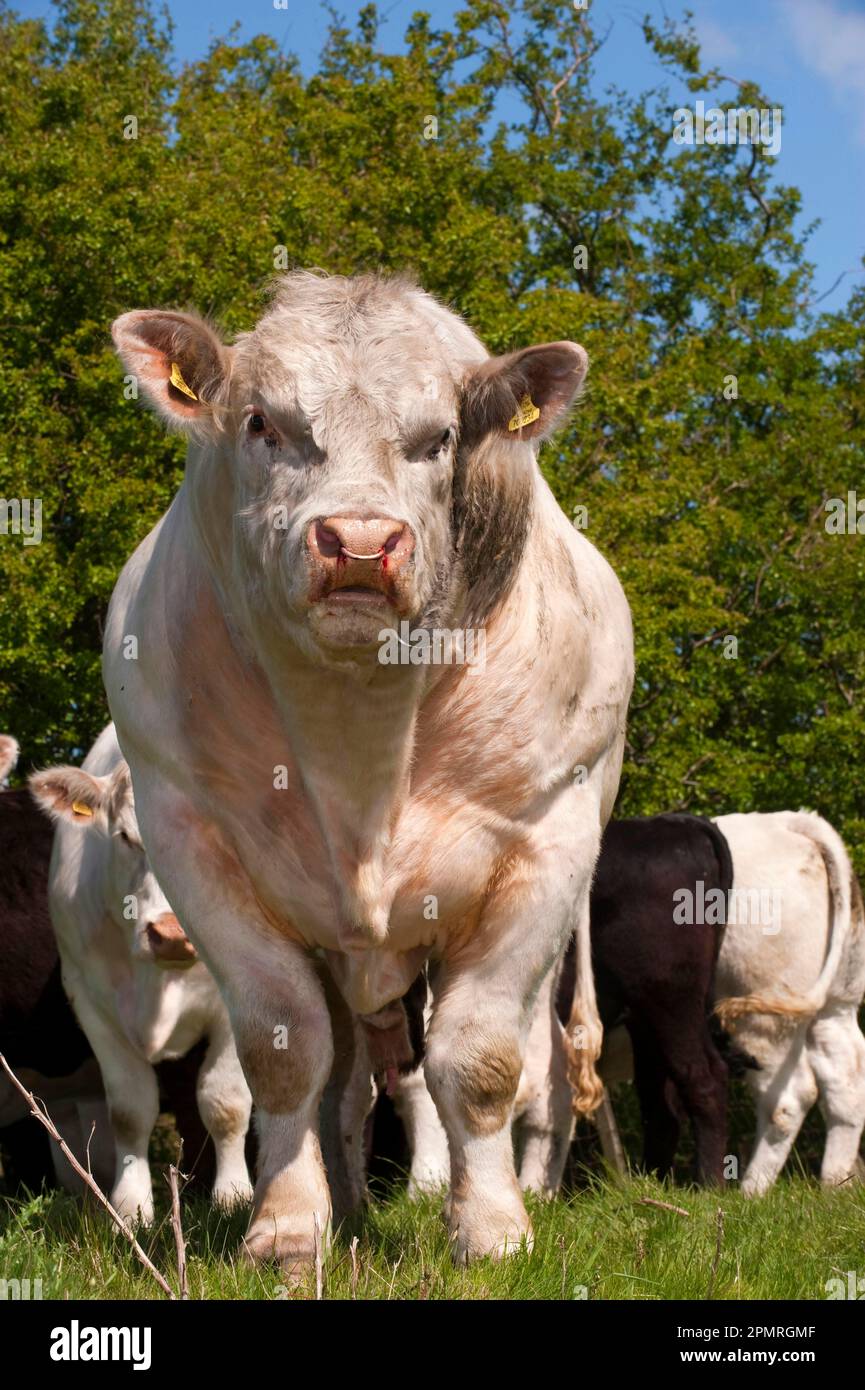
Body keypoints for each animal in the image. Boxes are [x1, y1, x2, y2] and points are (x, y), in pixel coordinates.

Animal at [29, 724, 254, 1224]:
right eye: (126, 837)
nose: (172, 933)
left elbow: (225, 1100)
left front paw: (233, 1198)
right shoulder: (89, 997)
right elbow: (130, 1109)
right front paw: (130, 1208)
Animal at [103, 270, 634, 1269]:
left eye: (440, 438)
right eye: (262, 422)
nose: (357, 541)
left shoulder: (544, 843)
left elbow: (479, 1059)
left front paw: (491, 1228)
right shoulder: (191, 838)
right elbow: (284, 1055)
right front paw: (286, 1228)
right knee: (342, 1080)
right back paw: (342, 1206)